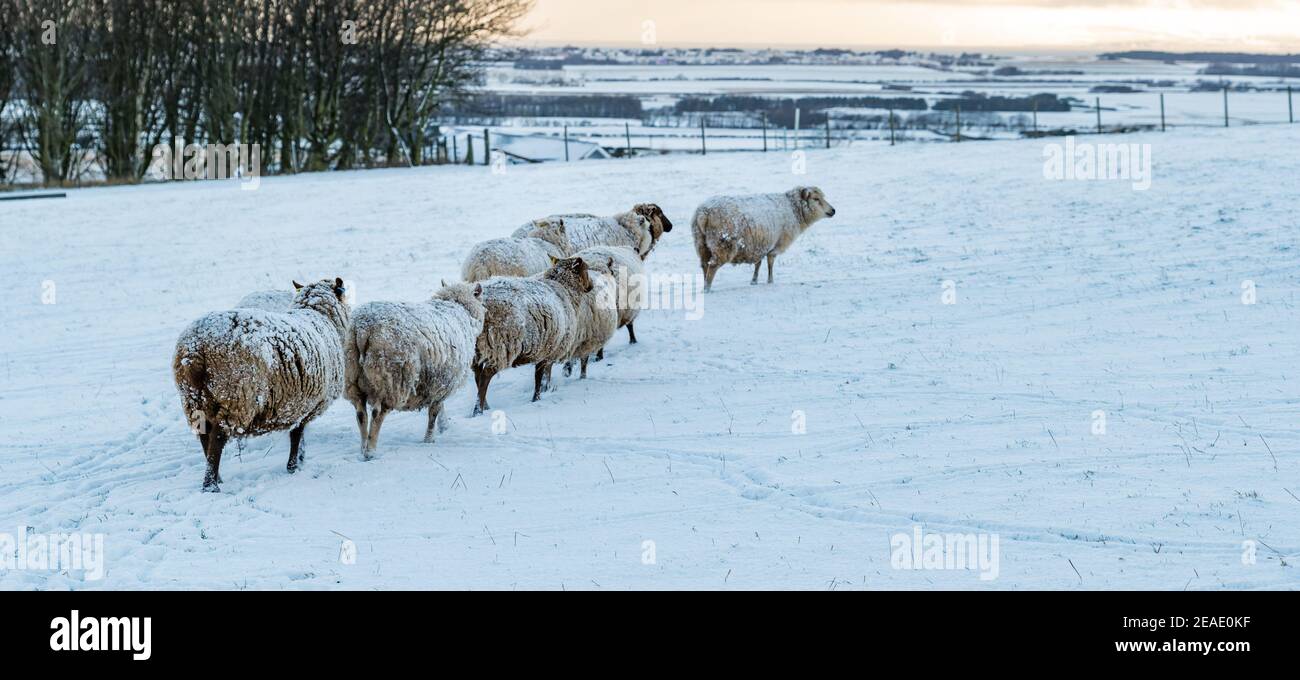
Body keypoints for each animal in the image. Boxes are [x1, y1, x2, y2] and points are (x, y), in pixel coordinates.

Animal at [172, 278, 350, 492]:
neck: (320, 317)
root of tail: (195, 350)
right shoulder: (306, 404)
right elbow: (297, 436)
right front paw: (294, 465)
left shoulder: (299, 403)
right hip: (237, 396)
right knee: (217, 439)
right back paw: (211, 485)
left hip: (194, 399)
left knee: (204, 436)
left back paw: (217, 478)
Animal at [344, 282, 485, 457]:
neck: (458, 308)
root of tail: (363, 330)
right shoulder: (443, 382)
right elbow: (433, 413)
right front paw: (429, 439)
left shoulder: (437, 382)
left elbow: (439, 409)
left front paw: (443, 427)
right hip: (391, 378)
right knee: (377, 414)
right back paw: (370, 451)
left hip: (352, 378)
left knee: (360, 414)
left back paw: (362, 447)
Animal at [471, 256, 593, 415]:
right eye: (586, 269)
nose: (591, 286)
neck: (565, 289)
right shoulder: (548, 349)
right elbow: (540, 376)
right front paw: (538, 397)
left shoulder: (546, 349)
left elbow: (543, 374)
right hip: (501, 346)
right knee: (485, 376)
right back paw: (478, 410)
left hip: (477, 350)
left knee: (477, 375)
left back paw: (485, 406)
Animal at [691, 186, 836, 291]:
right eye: (816, 199)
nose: (833, 210)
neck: (793, 210)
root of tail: (703, 213)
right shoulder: (775, 246)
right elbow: (770, 264)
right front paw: (770, 281)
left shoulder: (759, 245)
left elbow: (758, 263)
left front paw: (754, 281)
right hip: (723, 244)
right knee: (712, 266)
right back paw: (707, 288)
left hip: (702, 244)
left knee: (704, 265)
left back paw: (705, 284)